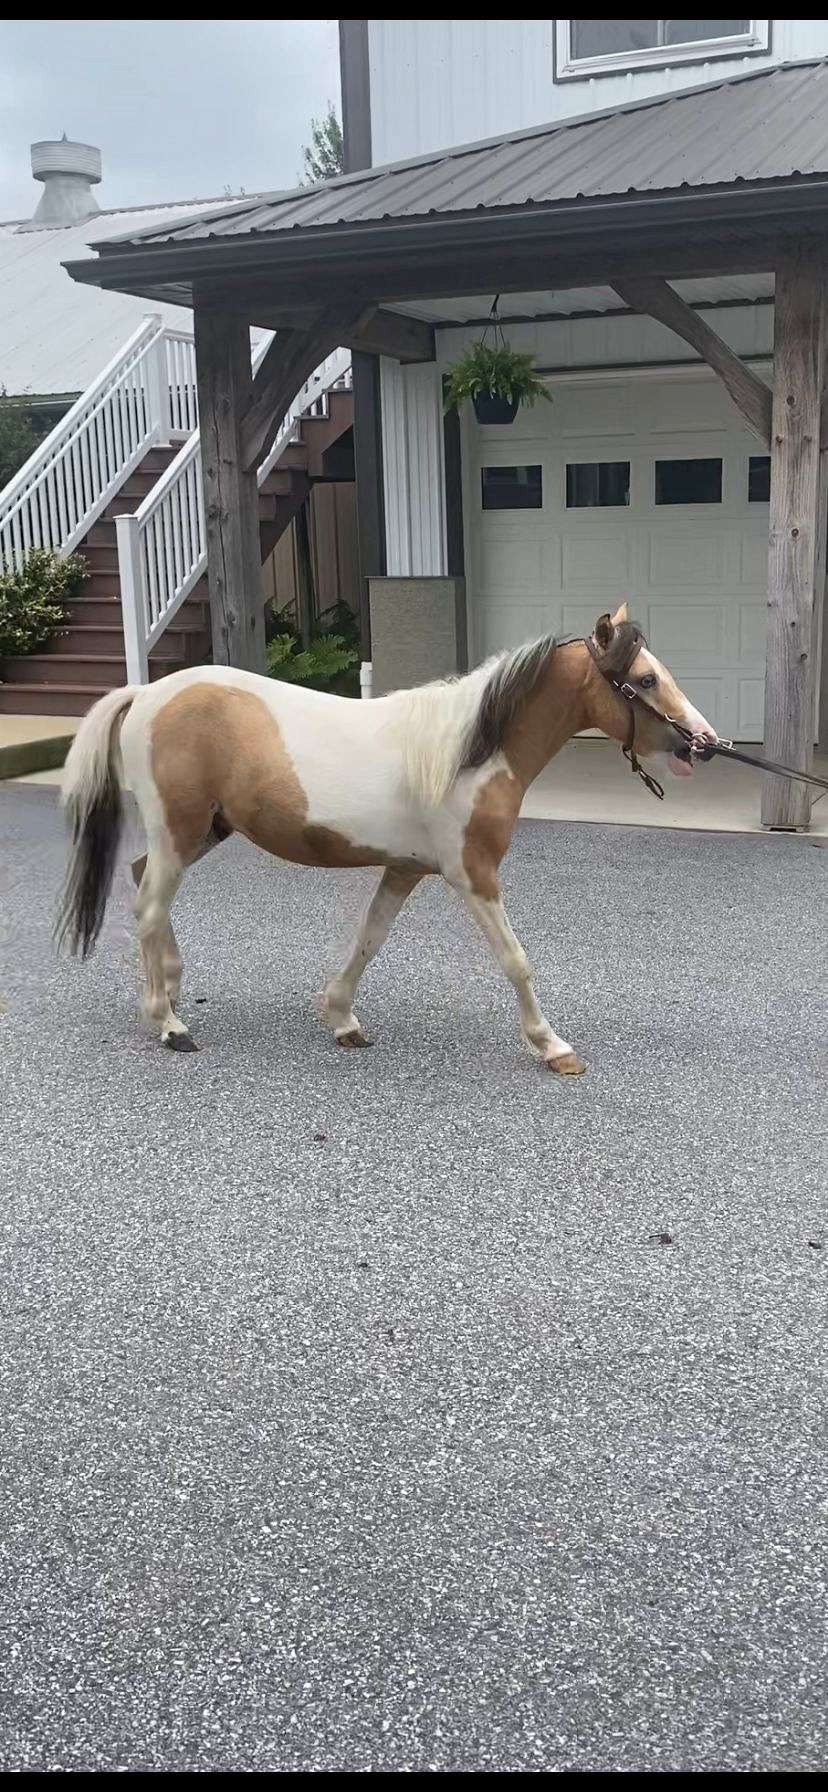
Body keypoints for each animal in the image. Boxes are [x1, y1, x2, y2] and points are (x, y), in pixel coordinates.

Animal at [56, 603, 716, 1074]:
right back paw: (169, 1024)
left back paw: (170, 986)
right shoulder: (473, 873)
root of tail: (149, 693)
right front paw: (551, 1046)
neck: (470, 752)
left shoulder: (406, 869)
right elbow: (515, 959)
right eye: (646, 680)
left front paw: (341, 1018)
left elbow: (369, 939)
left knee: (143, 883)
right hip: (181, 830)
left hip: (200, 833)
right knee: (147, 907)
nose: (704, 744)